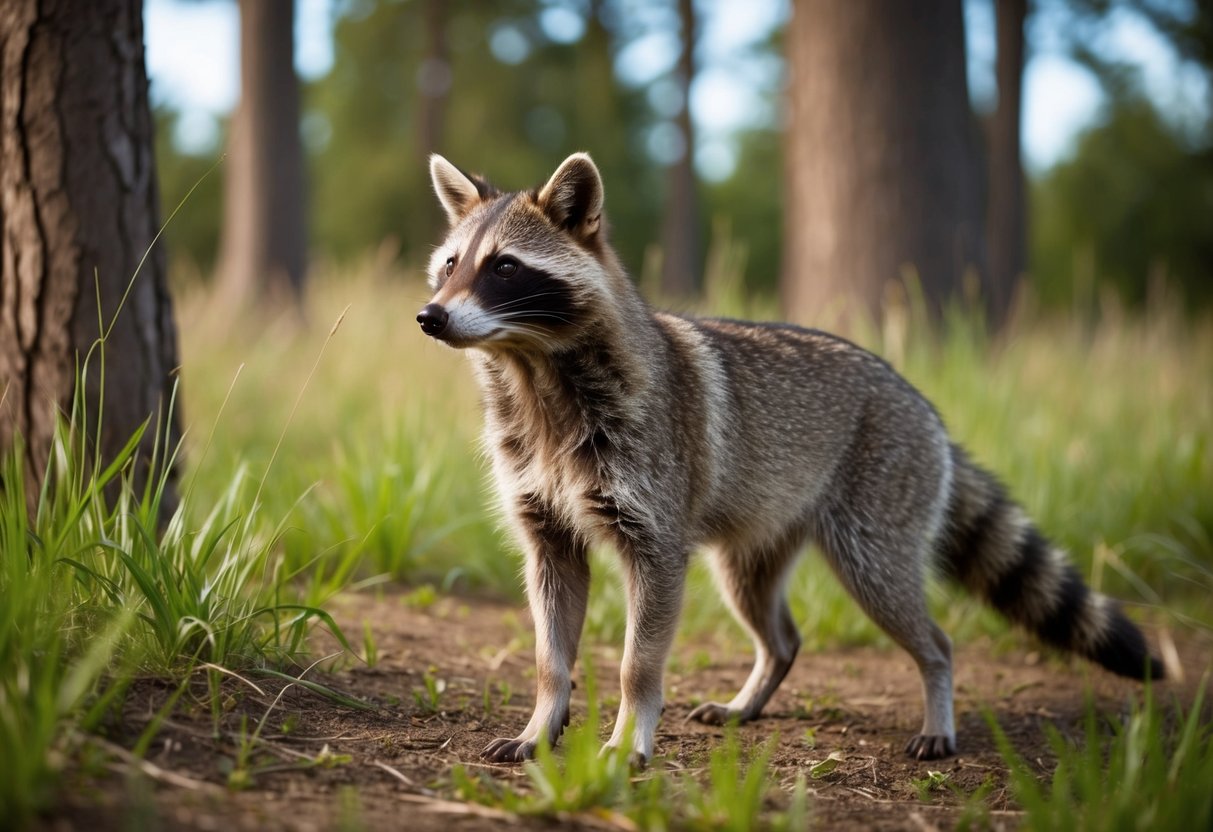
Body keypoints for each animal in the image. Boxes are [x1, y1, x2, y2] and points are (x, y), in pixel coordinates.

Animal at [416, 152, 1163, 764]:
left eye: (504, 267)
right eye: (451, 264)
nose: (429, 316)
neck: (533, 373)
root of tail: (921, 402)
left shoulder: (654, 516)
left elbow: (640, 659)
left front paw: (631, 729)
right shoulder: (543, 514)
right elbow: (550, 639)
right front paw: (543, 717)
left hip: (876, 520)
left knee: (917, 621)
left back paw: (936, 686)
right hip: (753, 539)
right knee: (775, 629)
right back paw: (756, 689)